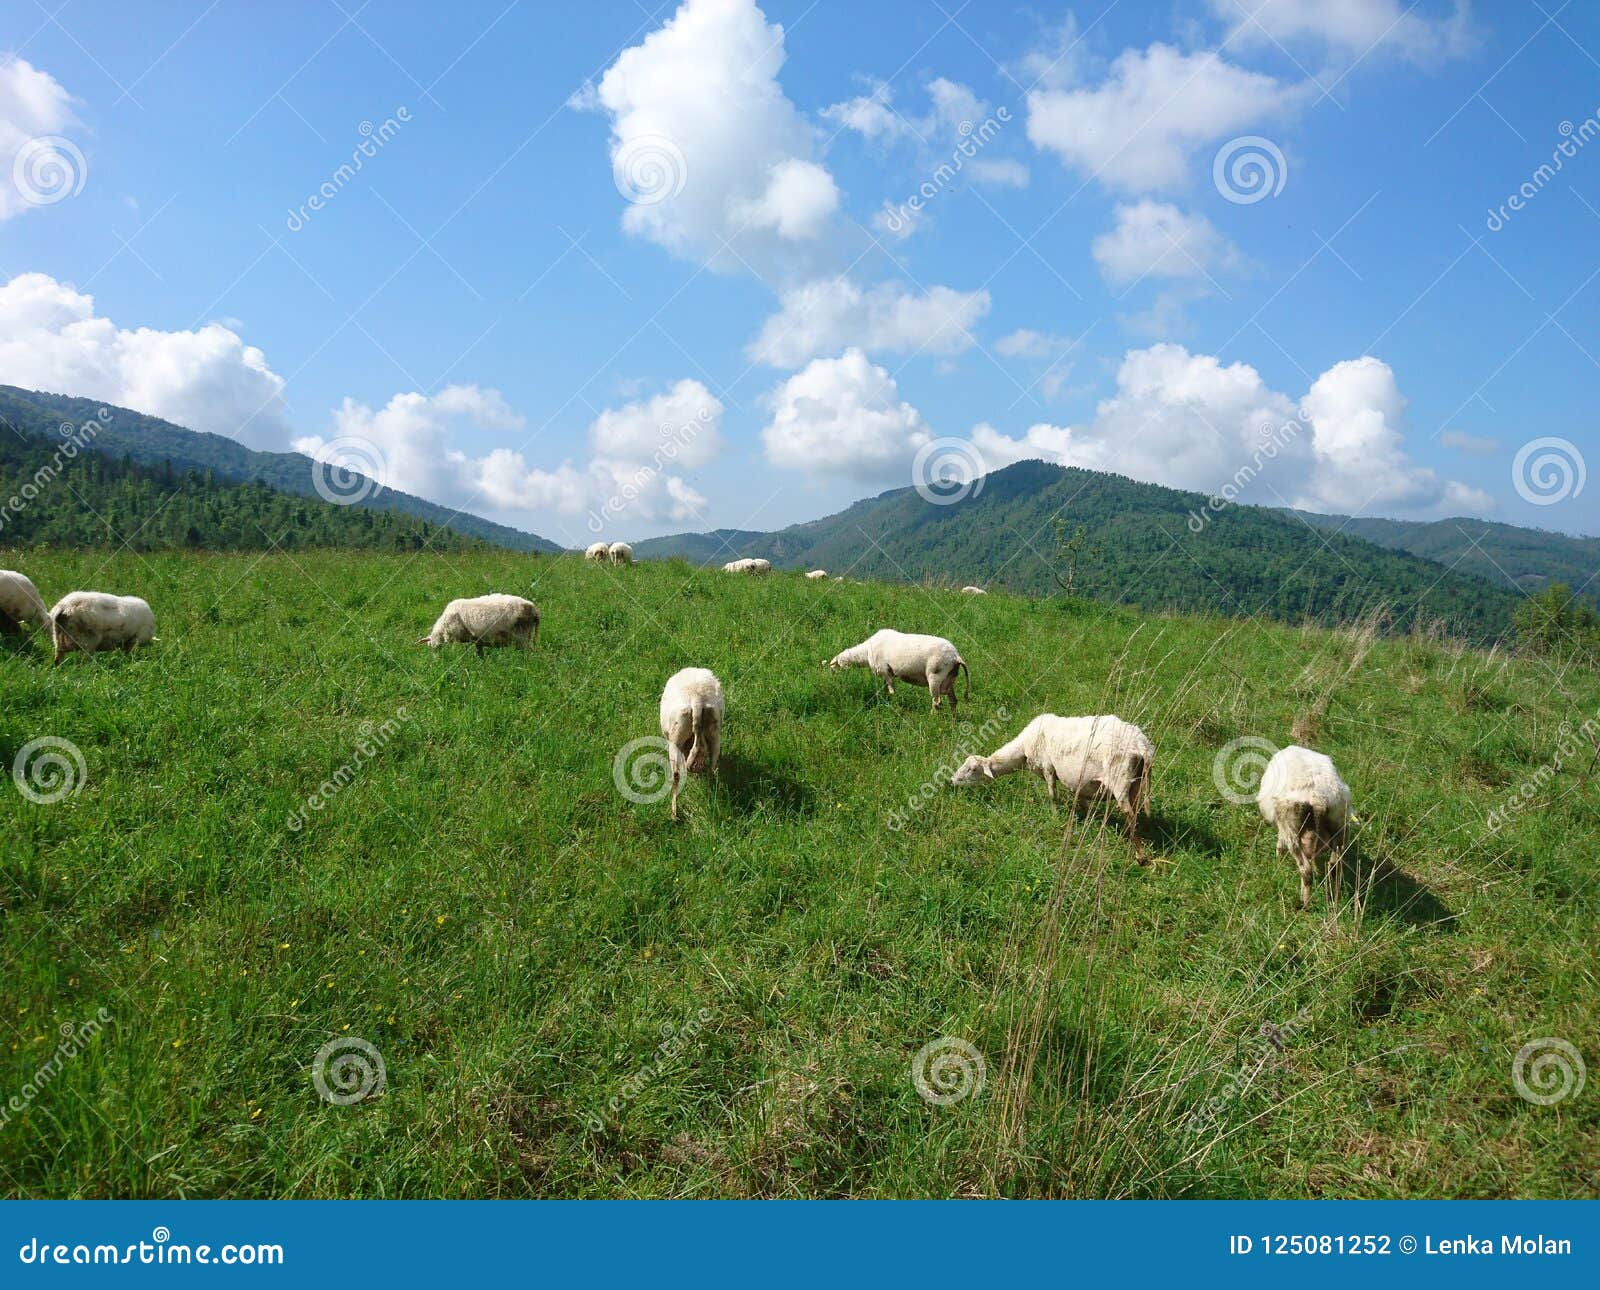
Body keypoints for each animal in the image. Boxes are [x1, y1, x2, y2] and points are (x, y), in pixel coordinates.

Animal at [659, 667, 724, 821]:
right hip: (715, 732)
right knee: (713, 766)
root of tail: (697, 699)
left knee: (676, 775)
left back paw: (674, 814)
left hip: (675, 739)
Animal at [827, 628, 970, 712]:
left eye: (837, 665)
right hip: (950, 678)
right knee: (953, 701)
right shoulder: (886, 673)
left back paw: (932, 719)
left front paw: (893, 703)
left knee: (937, 702)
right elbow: (886, 688)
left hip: (935, 676)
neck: (866, 652)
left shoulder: (885, 671)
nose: (833, 676)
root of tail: (956, 656)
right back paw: (952, 721)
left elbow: (891, 690)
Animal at [951, 714, 1154, 861]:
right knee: (1134, 811)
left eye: (972, 769)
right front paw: (1088, 820)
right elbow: (1082, 802)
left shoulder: (1048, 768)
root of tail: (1141, 745)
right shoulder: (1079, 781)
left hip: (1120, 778)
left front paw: (1055, 817)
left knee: (1128, 813)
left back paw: (1140, 856)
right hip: (1136, 781)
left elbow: (1052, 795)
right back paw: (1128, 837)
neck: (1023, 750)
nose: (952, 780)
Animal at [1256, 745, 1351, 910]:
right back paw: (1333, 899)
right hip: (1339, 825)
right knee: (1334, 866)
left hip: (1291, 828)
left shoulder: (1282, 825)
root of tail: (1318, 798)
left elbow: (1280, 844)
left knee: (1305, 870)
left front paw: (1278, 861)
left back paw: (1304, 903)